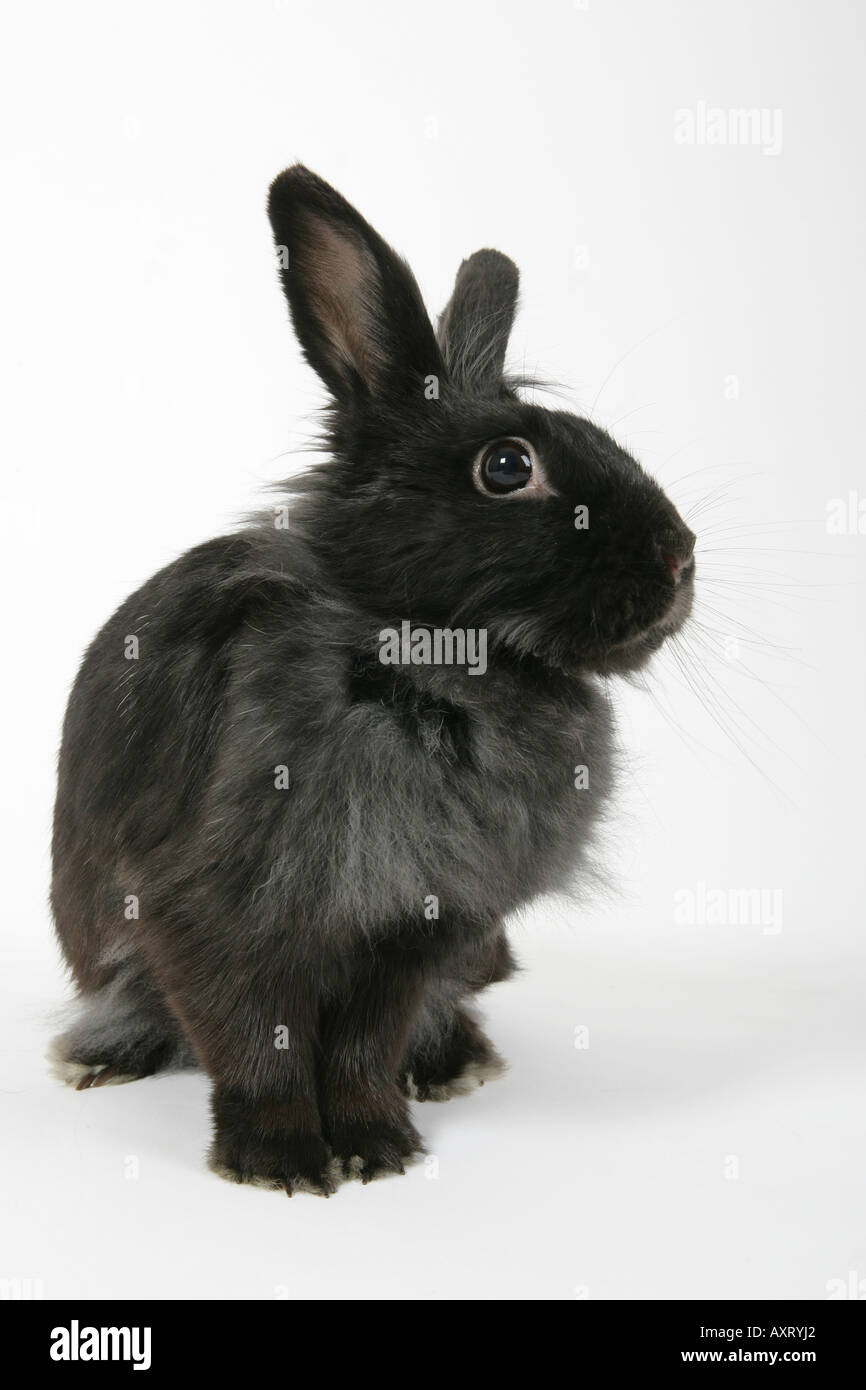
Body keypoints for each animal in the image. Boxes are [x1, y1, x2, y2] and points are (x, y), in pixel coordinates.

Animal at [49, 165, 696, 1194]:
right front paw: (278, 1162)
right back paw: (99, 1058)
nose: (681, 560)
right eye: (507, 466)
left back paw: (453, 1065)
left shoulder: (413, 932)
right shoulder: (215, 913)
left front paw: (375, 1147)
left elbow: (362, 1046)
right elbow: (254, 1042)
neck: (426, 658)